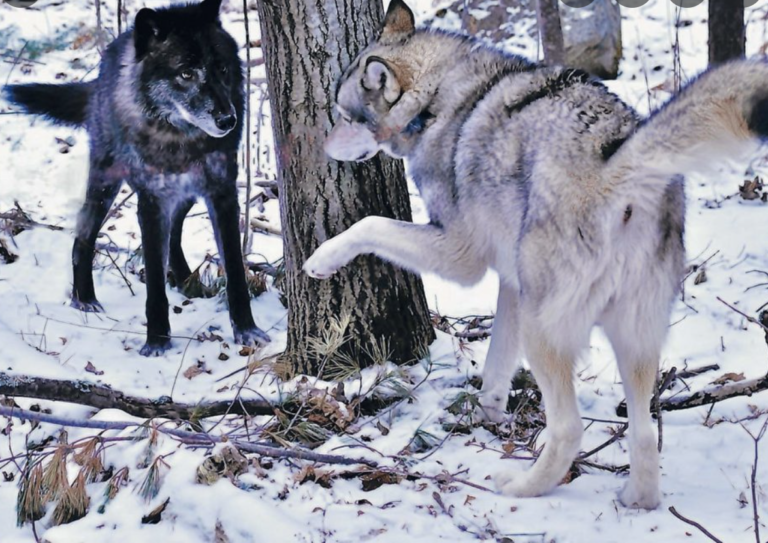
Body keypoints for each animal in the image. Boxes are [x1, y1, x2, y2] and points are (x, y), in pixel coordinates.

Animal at [5, 0, 270, 356]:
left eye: (223, 69)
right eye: (186, 73)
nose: (229, 120)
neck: (180, 139)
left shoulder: (222, 195)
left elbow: (236, 272)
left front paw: (246, 329)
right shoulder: (152, 202)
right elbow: (154, 281)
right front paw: (157, 341)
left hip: (185, 195)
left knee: (175, 232)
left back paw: (187, 283)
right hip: (106, 183)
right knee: (82, 237)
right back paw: (84, 298)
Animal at [304, 0, 768, 508]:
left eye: (344, 116)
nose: (322, 147)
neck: (438, 98)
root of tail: (616, 165)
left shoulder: (461, 257)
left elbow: (369, 224)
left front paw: (321, 260)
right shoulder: (511, 282)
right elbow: (496, 364)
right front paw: (486, 413)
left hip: (544, 332)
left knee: (569, 429)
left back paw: (522, 486)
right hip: (627, 336)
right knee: (644, 432)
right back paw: (636, 500)